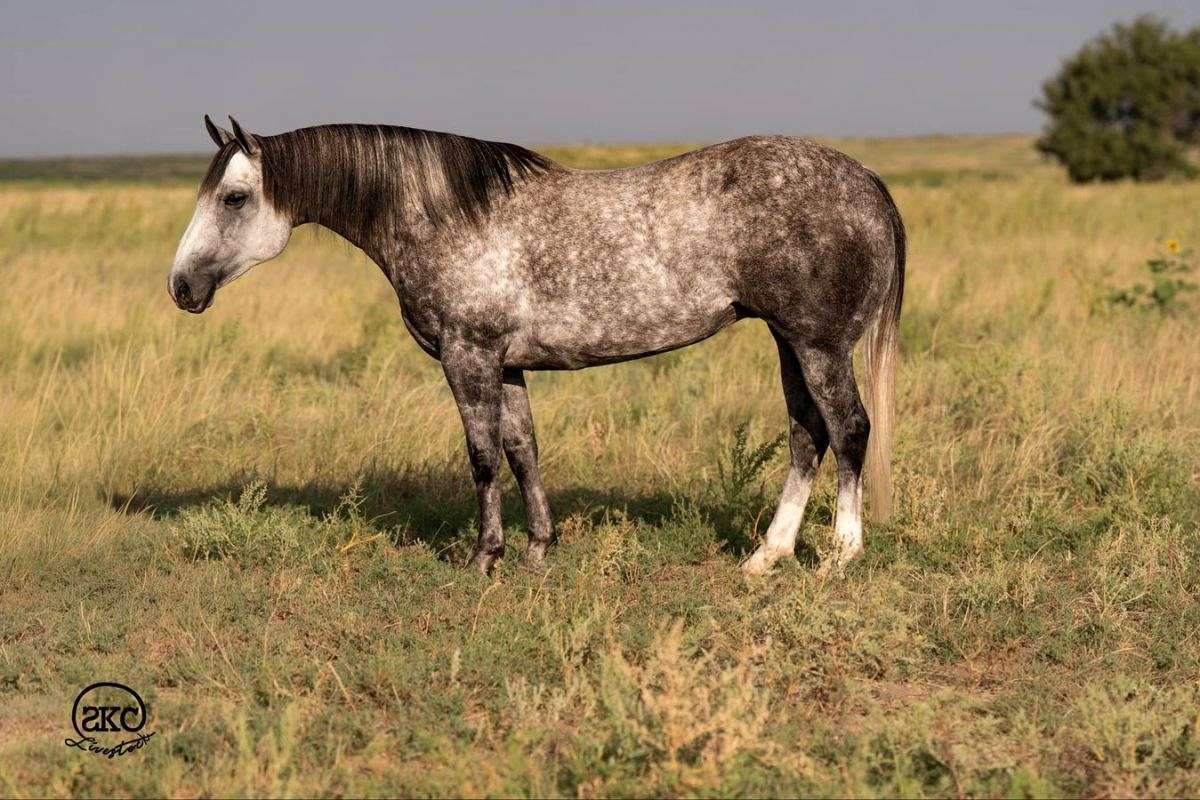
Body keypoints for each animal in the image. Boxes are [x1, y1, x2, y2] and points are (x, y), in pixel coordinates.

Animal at [168, 116, 905, 577]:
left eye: (234, 198)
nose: (181, 287)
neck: (448, 215)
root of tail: (867, 180)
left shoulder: (468, 357)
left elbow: (483, 458)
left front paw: (484, 557)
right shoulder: (508, 366)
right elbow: (524, 452)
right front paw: (538, 551)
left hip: (818, 345)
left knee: (848, 429)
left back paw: (840, 555)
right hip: (789, 341)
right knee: (807, 434)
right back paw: (766, 556)